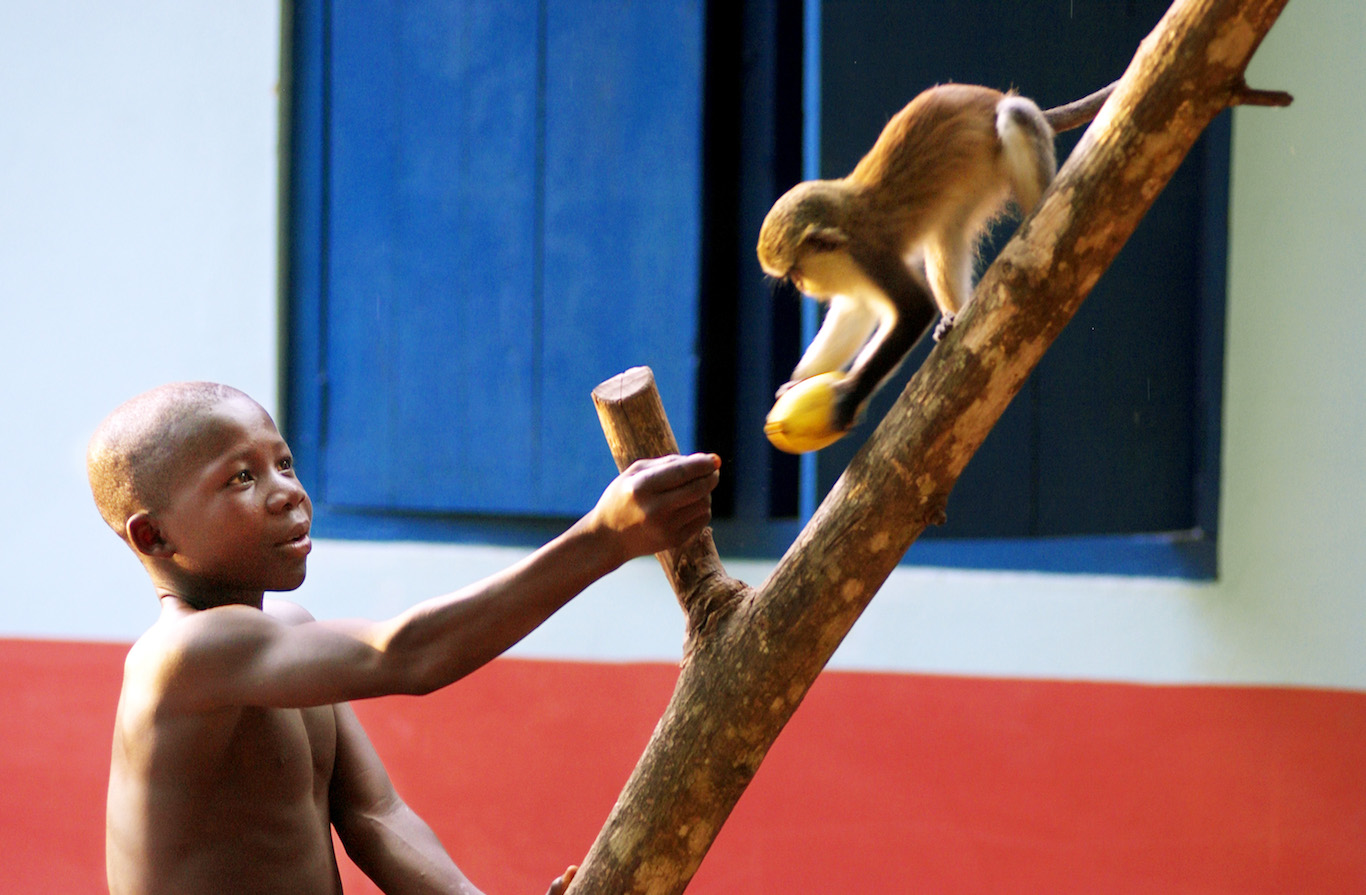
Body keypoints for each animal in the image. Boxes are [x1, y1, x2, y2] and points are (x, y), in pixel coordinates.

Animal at [758, 80, 1114, 435]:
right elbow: (856, 311)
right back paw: (954, 319)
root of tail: (994, 97)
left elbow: (915, 309)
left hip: (1016, 138)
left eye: (795, 274)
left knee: (1014, 117)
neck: (845, 221)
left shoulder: (871, 256)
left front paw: (849, 397)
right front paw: (797, 383)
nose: (803, 287)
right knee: (946, 236)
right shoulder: (854, 270)